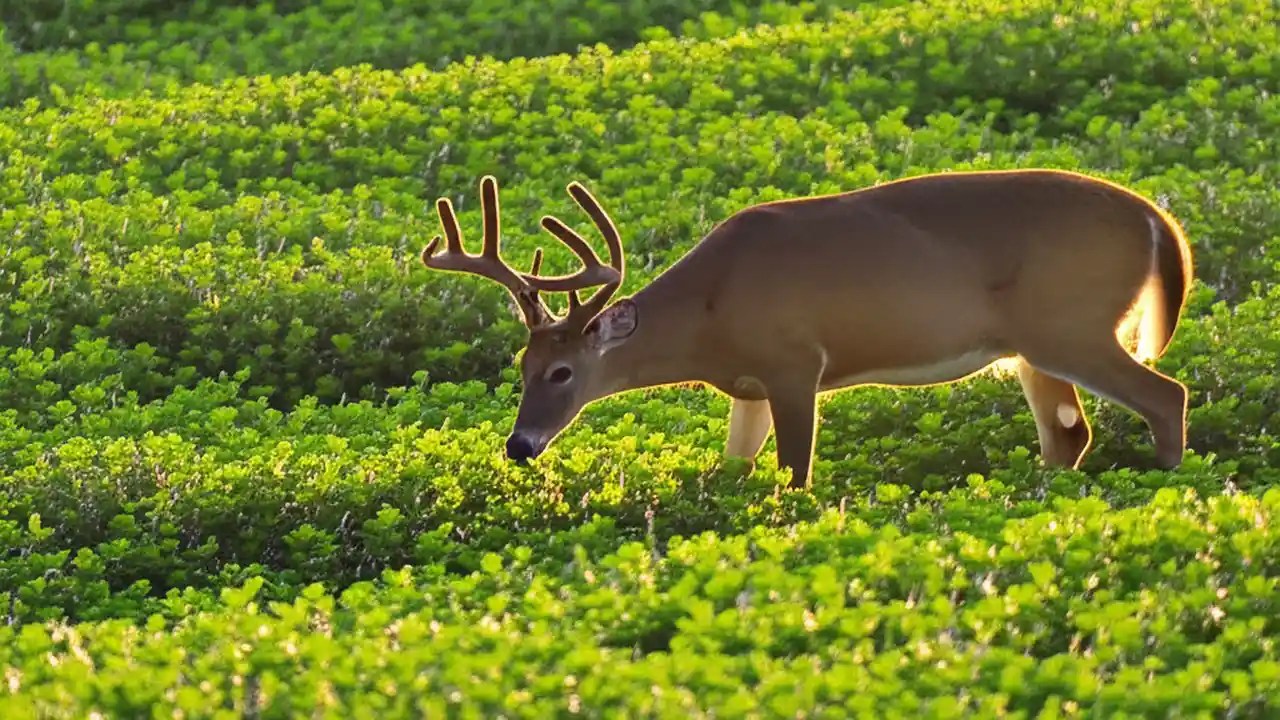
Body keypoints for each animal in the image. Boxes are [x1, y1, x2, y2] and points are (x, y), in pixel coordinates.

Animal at [419, 169, 1194, 490]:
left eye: (563, 372)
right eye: (519, 367)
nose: (519, 445)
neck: (713, 312)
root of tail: (1159, 221)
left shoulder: (795, 364)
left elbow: (795, 474)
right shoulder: (749, 385)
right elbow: (735, 467)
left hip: (1073, 324)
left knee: (1167, 396)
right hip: (1036, 347)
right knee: (1069, 435)